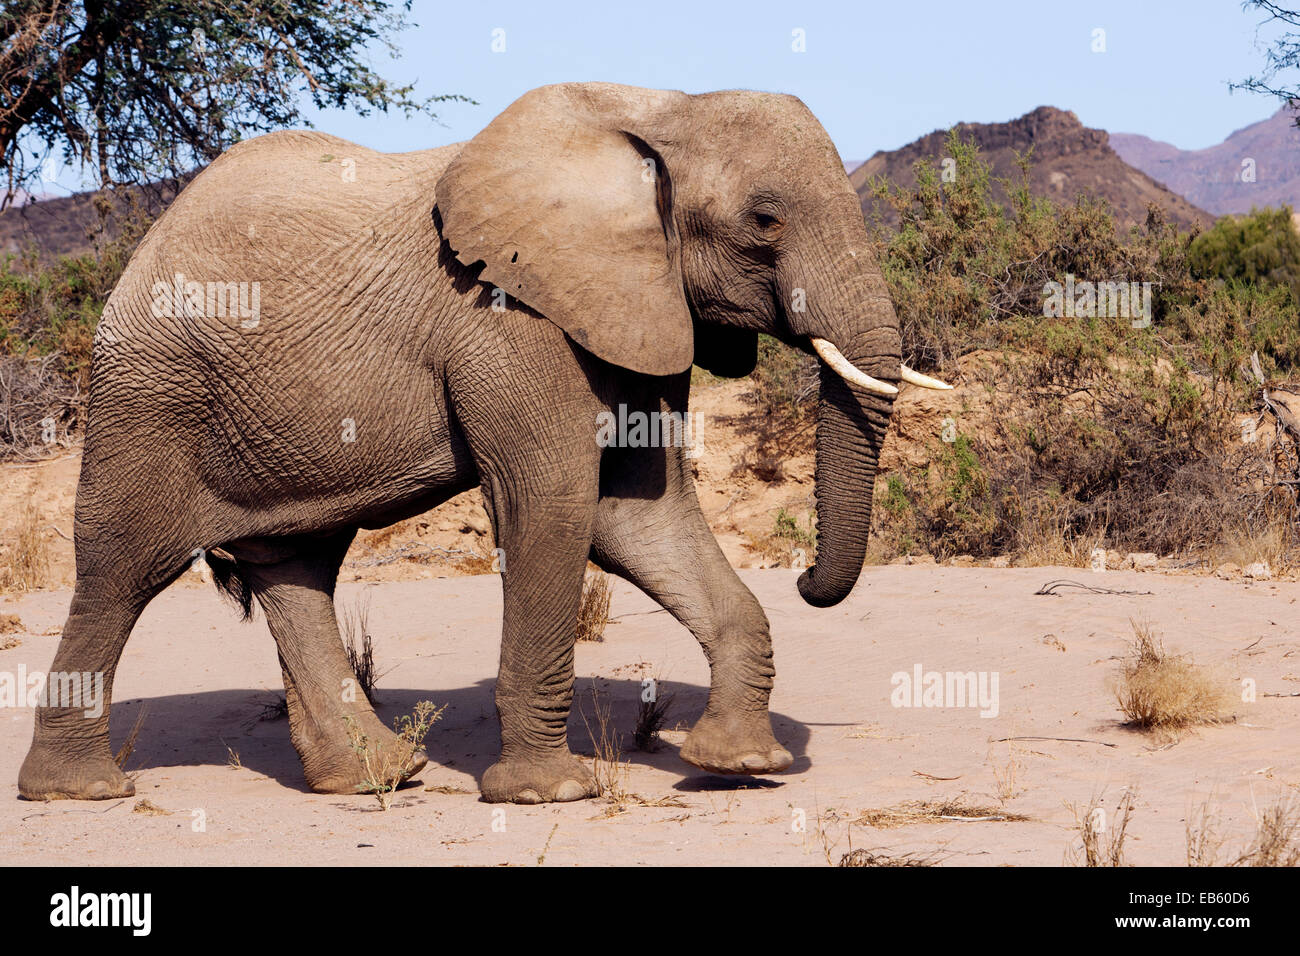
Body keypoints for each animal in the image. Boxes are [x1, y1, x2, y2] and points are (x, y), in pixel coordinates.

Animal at [17, 82, 949, 804]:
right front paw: (550, 794)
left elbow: (636, 515)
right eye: (764, 219)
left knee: (295, 568)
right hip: (150, 392)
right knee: (121, 569)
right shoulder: (509, 318)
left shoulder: (637, 304)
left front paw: (742, 764)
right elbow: (555, 504)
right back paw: (79, 792)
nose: (805, 577)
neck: (657, 109)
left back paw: (380, 778)